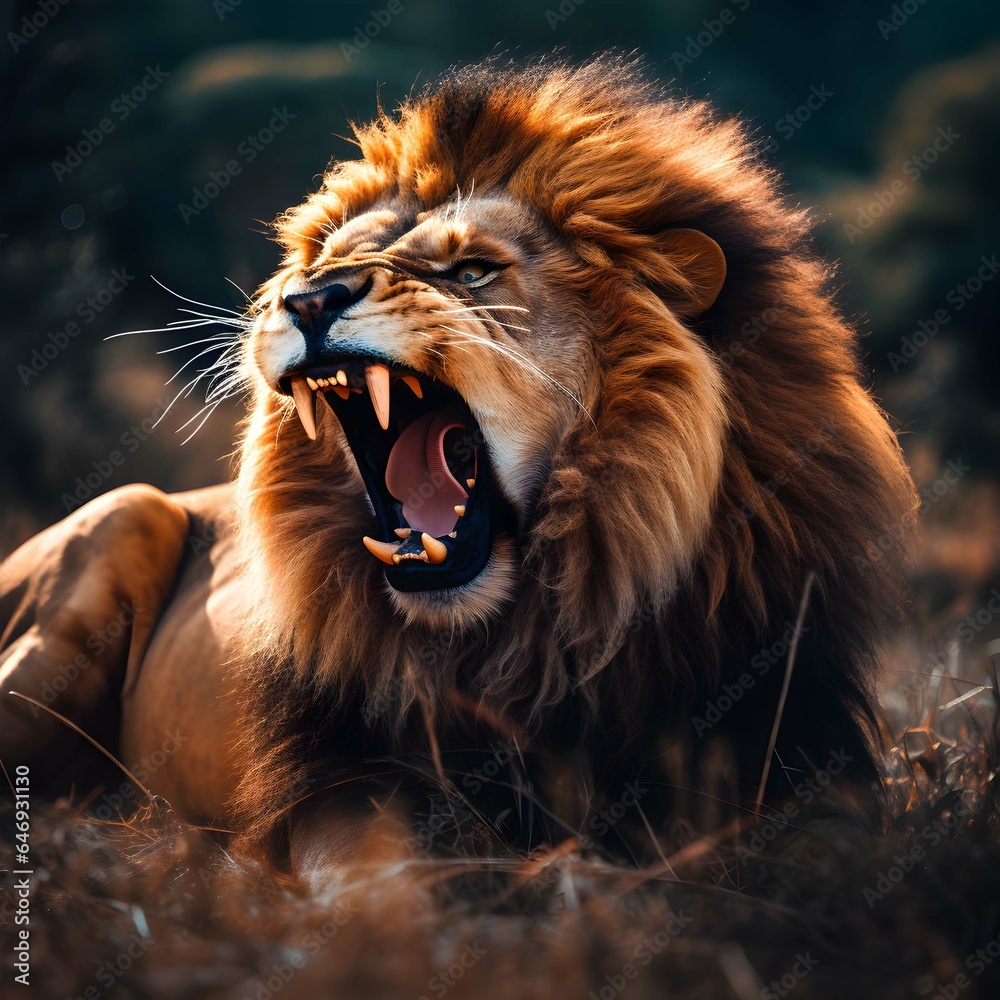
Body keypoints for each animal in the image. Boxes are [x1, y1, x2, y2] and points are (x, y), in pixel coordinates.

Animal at [0, 55, 915, 879]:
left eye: (472, 270)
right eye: (316, 266)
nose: (307, 298)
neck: (528, 635)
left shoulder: (799, 740)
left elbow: (839, 860)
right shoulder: (340, 782)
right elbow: (385, 885)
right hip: (111, 538)